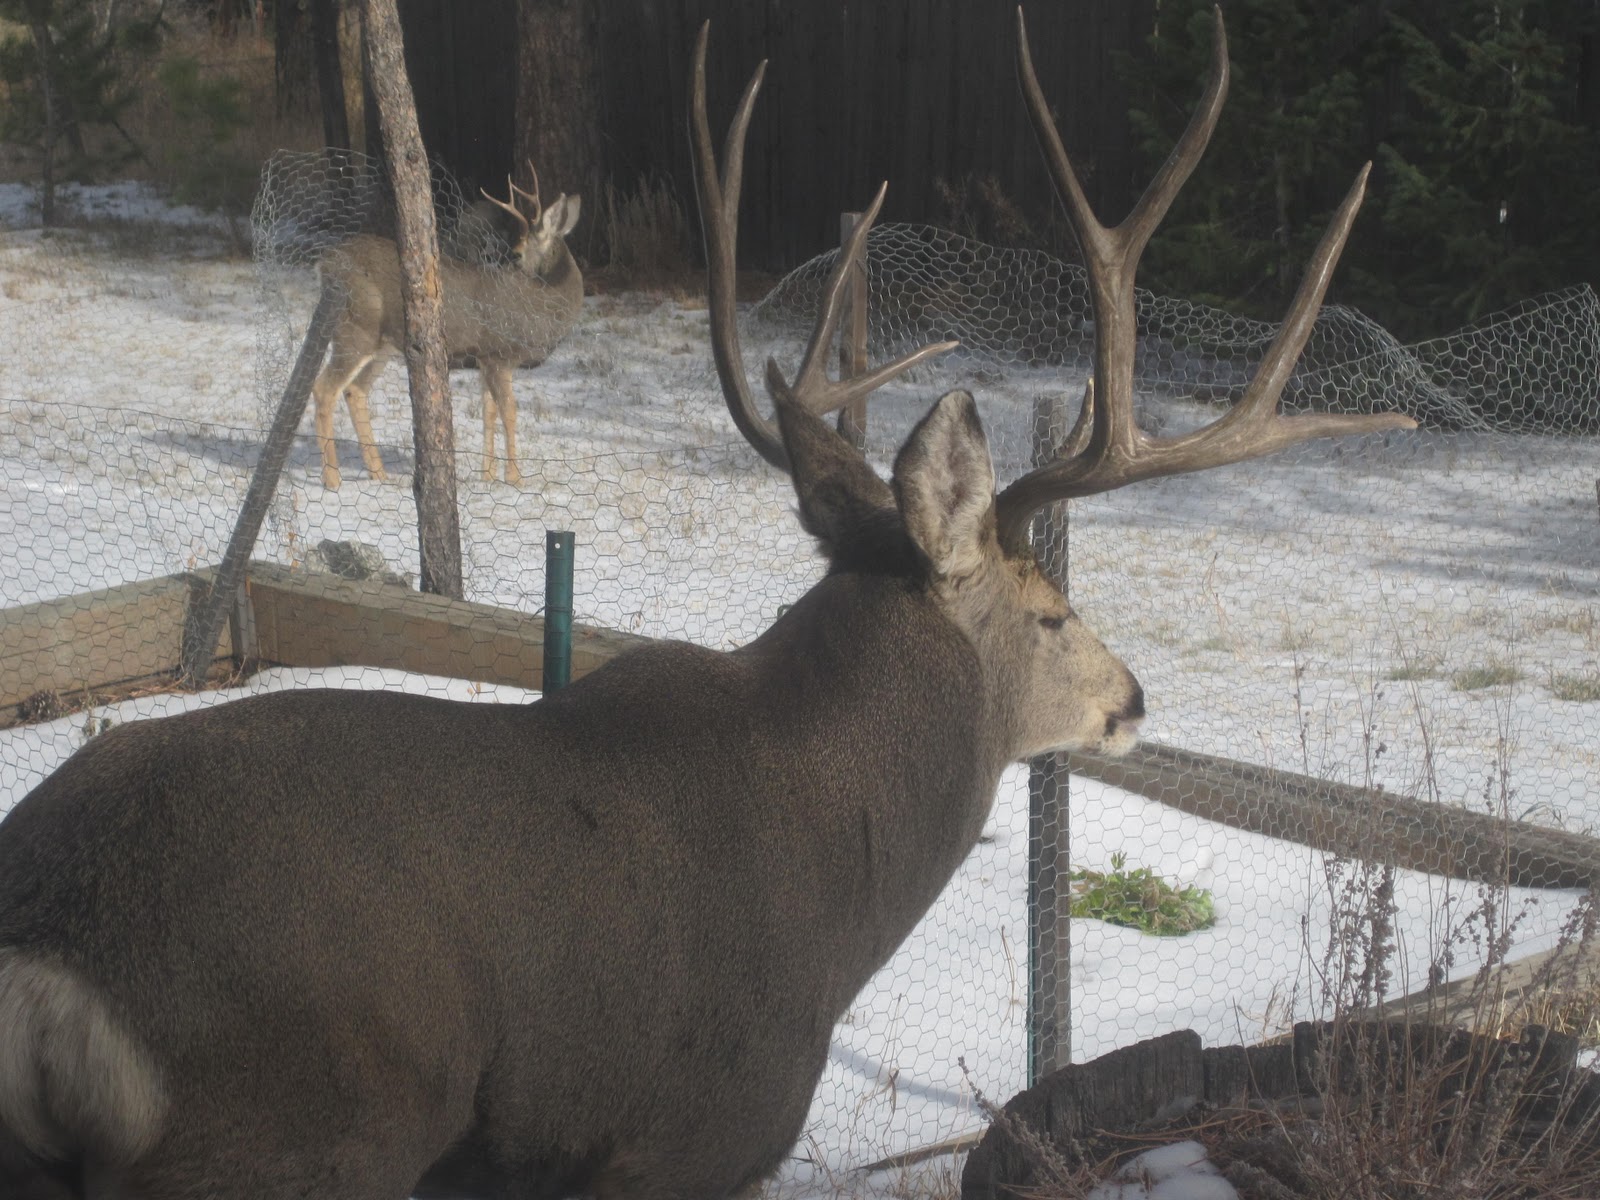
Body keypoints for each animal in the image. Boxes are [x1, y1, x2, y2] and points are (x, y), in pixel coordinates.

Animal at [309, 164, 583, 490]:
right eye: (515, 254)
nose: (512, 262)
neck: (542, 307)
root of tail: (326, 263)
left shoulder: (484, 360)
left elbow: (488, 412)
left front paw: (487, 475)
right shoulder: (498, 354)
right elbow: (509, 412)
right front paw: (515, 478)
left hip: (381, 345)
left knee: (354, 390)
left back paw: (379, 473)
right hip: (355, 328)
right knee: (324, 388)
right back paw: (332, 478)